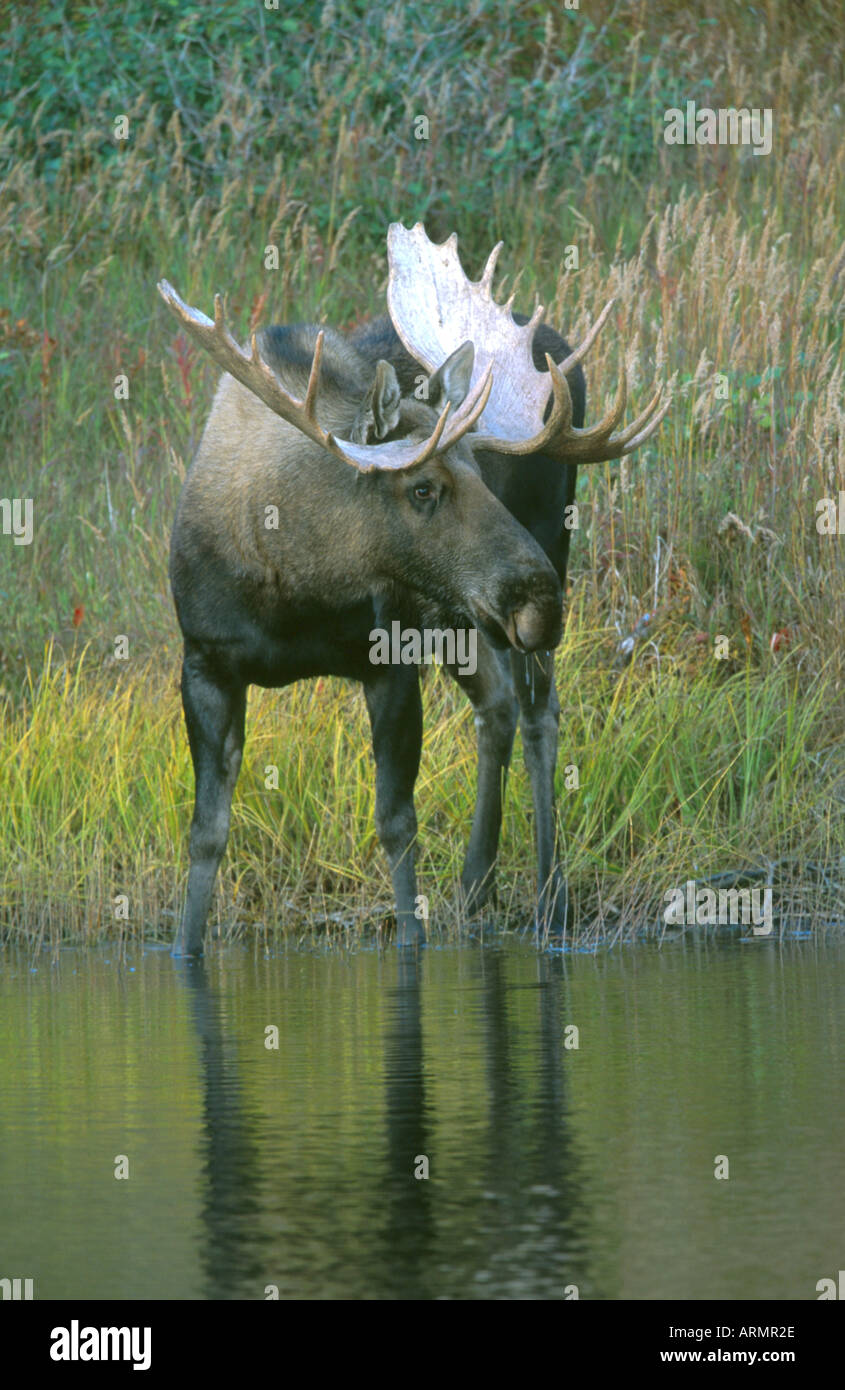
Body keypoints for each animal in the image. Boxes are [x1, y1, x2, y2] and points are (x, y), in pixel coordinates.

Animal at [158, 223, 668, 956]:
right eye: (423, 488)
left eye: (480, 468)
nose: (538, 598)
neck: (293, 589)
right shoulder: (204, 661)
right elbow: (205, 834)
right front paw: (185, 947)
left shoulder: (390, 657)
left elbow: (397, 823)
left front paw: (412, 939)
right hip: (466, 618)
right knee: (498, 704)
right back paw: (477, 882)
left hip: (536, 560)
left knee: (540, 711)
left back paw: (552, 899)